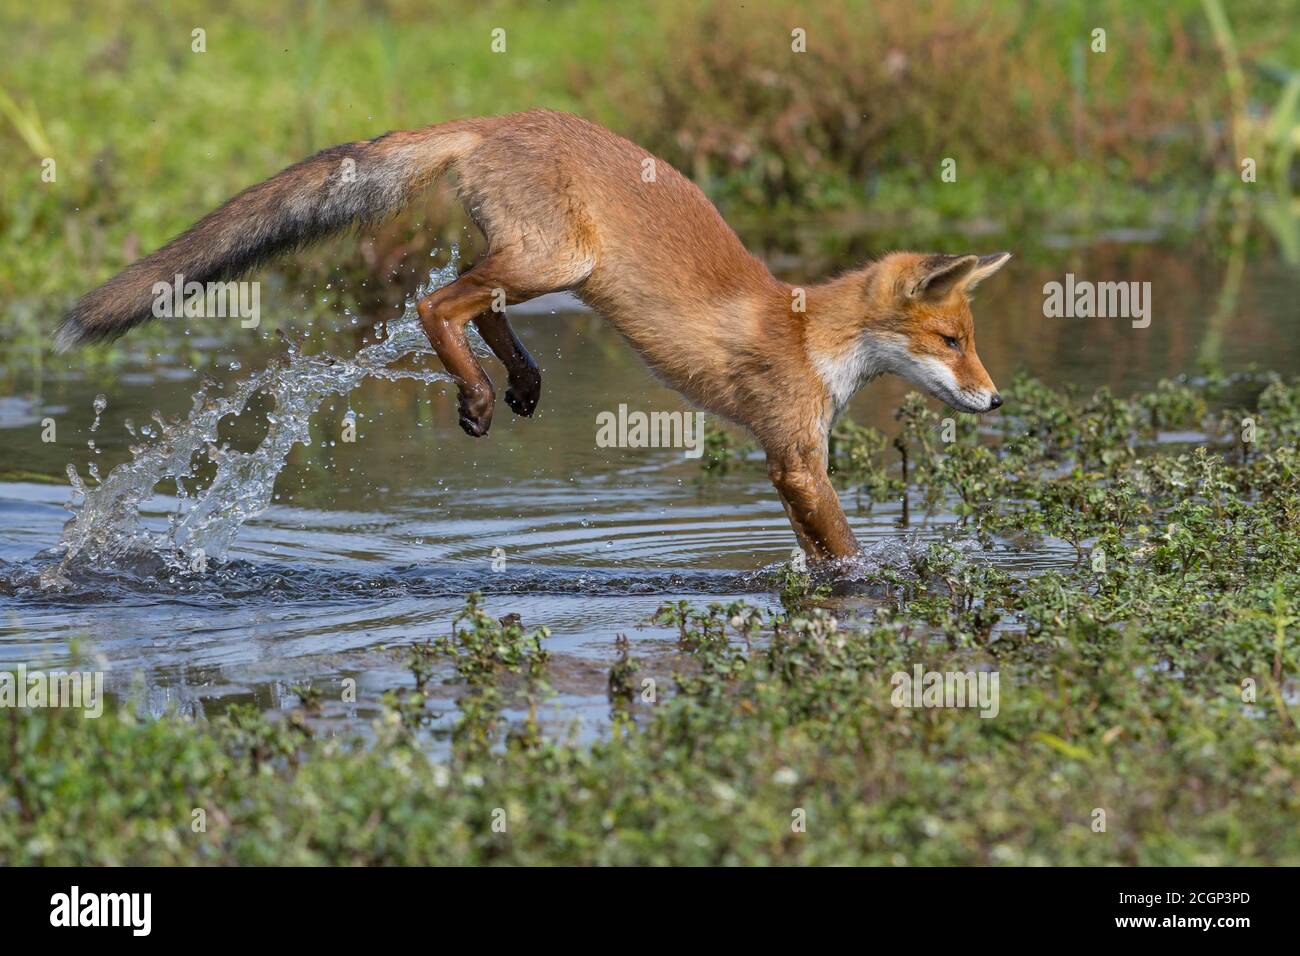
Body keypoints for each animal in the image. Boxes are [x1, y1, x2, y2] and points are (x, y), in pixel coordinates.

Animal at [57, 109, 1011, 563]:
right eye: (951, 341)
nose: (996, 399)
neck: (810, 335)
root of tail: (500, 118)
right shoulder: (792, 456)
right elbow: (844, 553)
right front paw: (874, 593)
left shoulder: (794, 463)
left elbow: (818, 554)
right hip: (560, 258)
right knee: (434, 303)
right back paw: (478, 391)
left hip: (540, 261)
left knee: (471, 300)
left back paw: (515, 380)